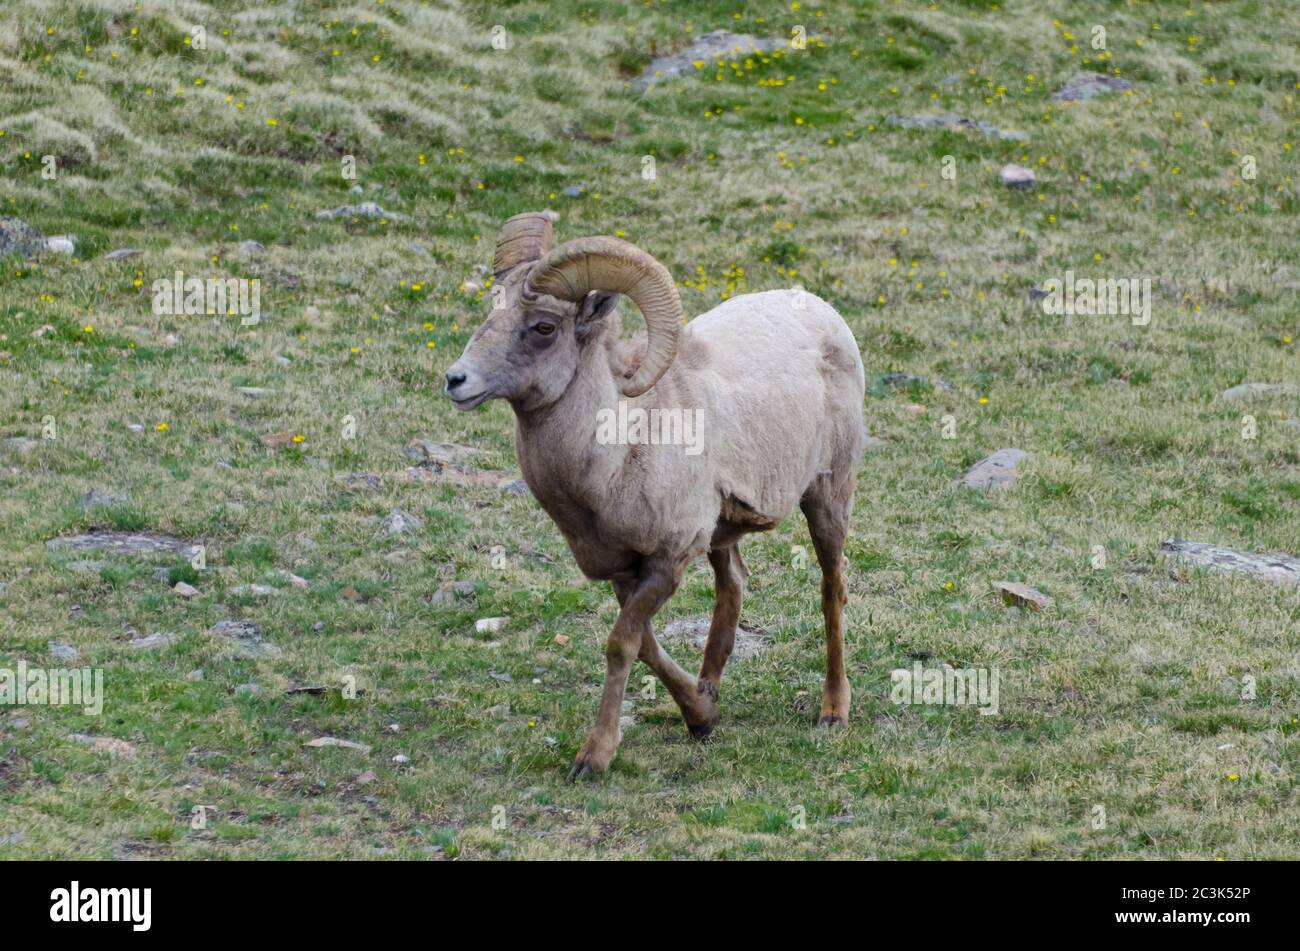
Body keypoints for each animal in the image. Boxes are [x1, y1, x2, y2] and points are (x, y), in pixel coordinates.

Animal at [445, 212, 866, 777]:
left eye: (543, 328)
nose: (456, 380)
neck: (622, 449)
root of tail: (821, 312)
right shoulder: (623, 570)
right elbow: (644, 645)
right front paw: (701, 715)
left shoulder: (668, 560)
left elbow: (621, 644)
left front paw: (593, 757)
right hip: (722, 533)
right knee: (732, 585)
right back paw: (711, 685)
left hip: (828, 495)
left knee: (830, 590)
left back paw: (833, 711)